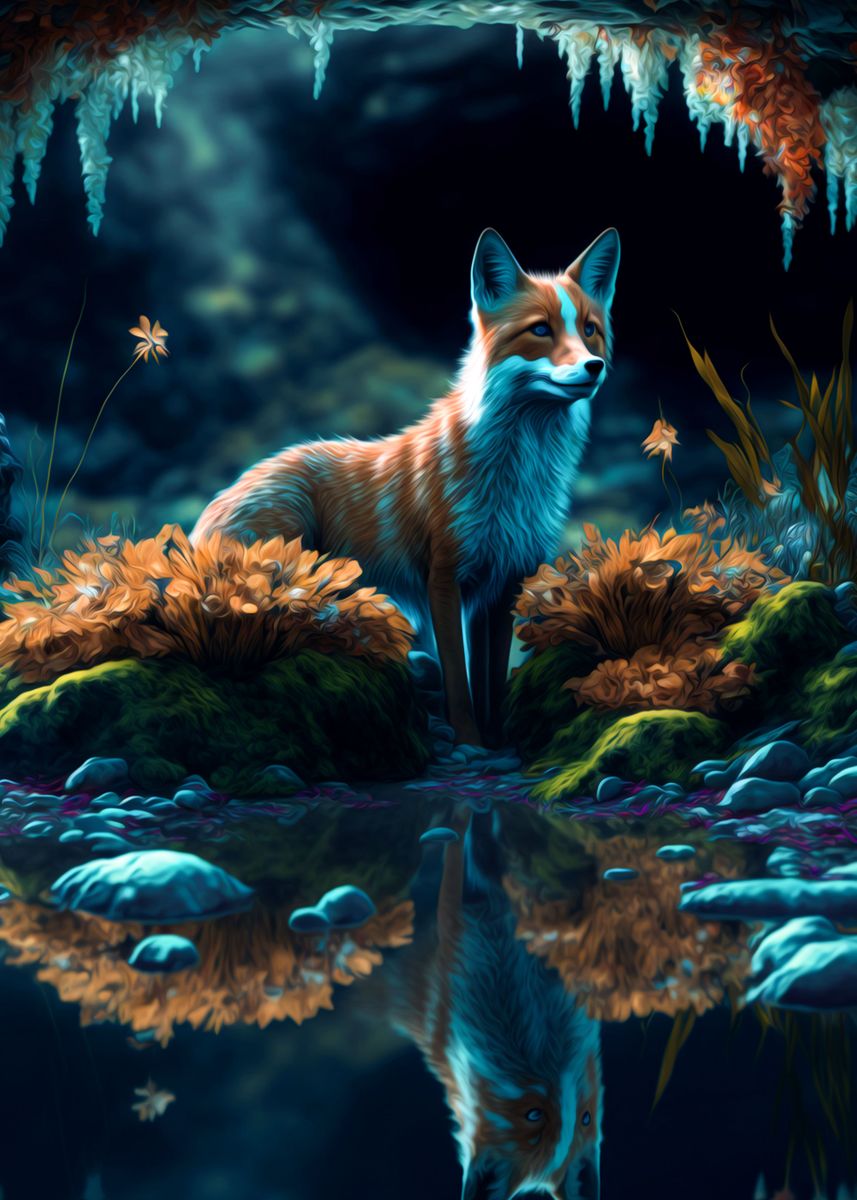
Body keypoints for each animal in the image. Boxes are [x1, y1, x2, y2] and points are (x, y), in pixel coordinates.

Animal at [192, 227, 620, 746]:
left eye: (590, 329)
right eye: (541, 330)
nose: (594, 366)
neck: (517, 479)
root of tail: (212, 508)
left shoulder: (504, 581)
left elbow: (491, 678)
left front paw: (497, 739)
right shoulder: (444, 577)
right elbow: (458, 676)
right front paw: (470, 739)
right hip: (291, 560)